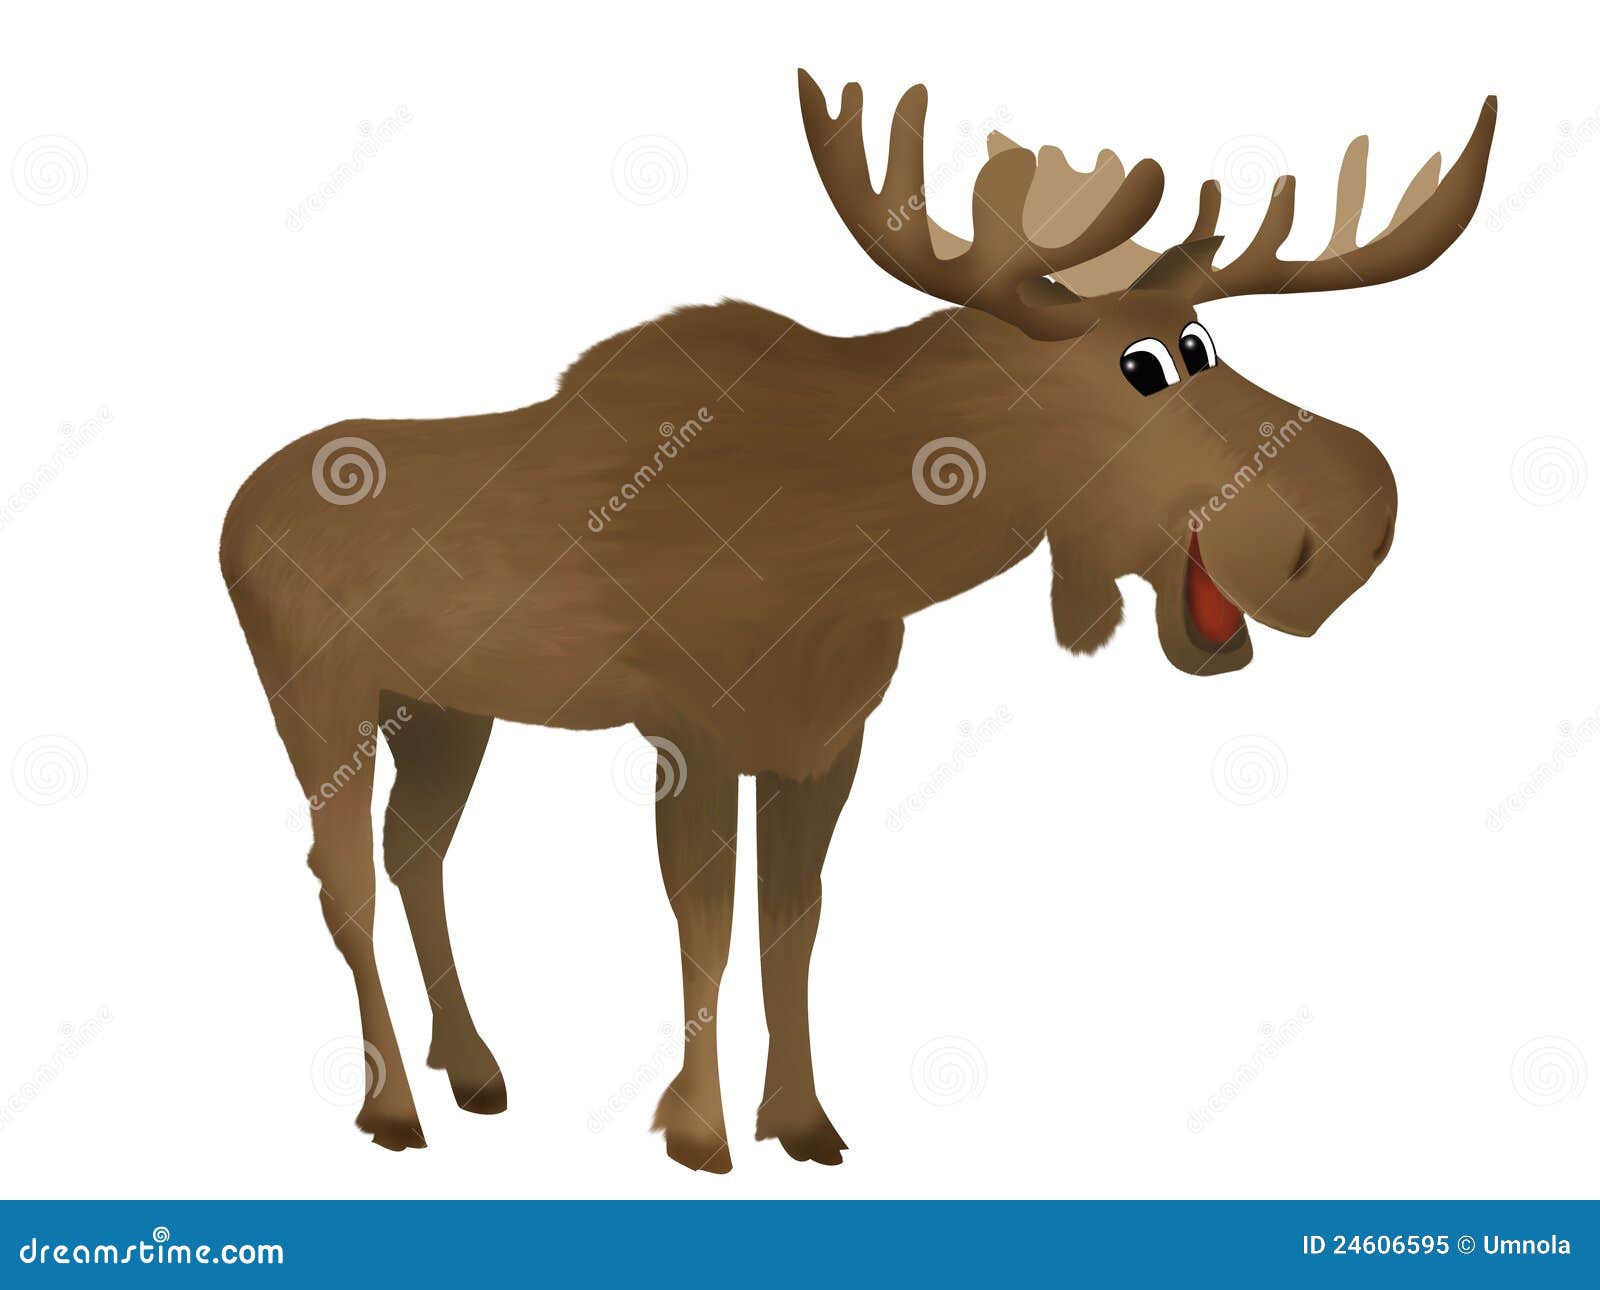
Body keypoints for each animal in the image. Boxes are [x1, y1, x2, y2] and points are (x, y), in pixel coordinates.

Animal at [221, 71, 1496, 1171]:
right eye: (1147, 363)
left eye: (1205, 342)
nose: (1354, 524)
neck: (865, 546)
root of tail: (231, 514)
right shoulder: (693, 730)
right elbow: (706, 926)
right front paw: (698, 1133)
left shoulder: (824, 737)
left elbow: (795, 922)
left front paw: (802, 1122)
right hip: (318, 698)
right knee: (341, 876)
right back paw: (391, 1105)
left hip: (445, 709)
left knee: (416, 853)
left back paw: (473, 1066)